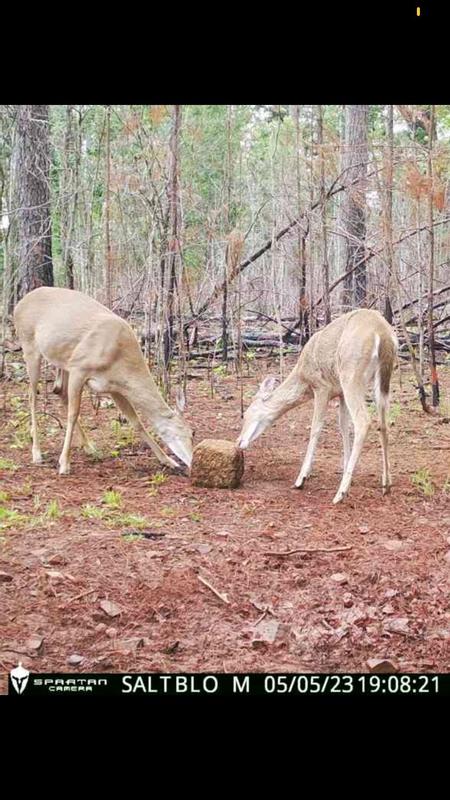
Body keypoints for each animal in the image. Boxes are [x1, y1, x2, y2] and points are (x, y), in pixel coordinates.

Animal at [13, 287, 194, 475]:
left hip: (63, 359)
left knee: (58, 390)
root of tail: (19, 304)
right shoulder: (80, 367)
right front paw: (64, 464)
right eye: (189, 433)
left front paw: (167, 461)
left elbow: (135, 421)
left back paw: (90, 447)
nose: (193, 463)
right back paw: (37, 453)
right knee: (32, 395)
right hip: (29, 345)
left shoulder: (113, 386)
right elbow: (73, 414)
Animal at [237, 309, 398, 504]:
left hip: (351, 374)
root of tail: (383, 334)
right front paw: (345, 469)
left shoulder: (322, 387)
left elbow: (316, 427)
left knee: (363, 421)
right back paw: (386, 484)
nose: (238, 442)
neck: (303, 377)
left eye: (247, 414)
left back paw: (340, 493)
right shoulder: (340, 392)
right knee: (384, 423)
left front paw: (301, 478)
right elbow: (343, 426)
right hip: (381, 379)